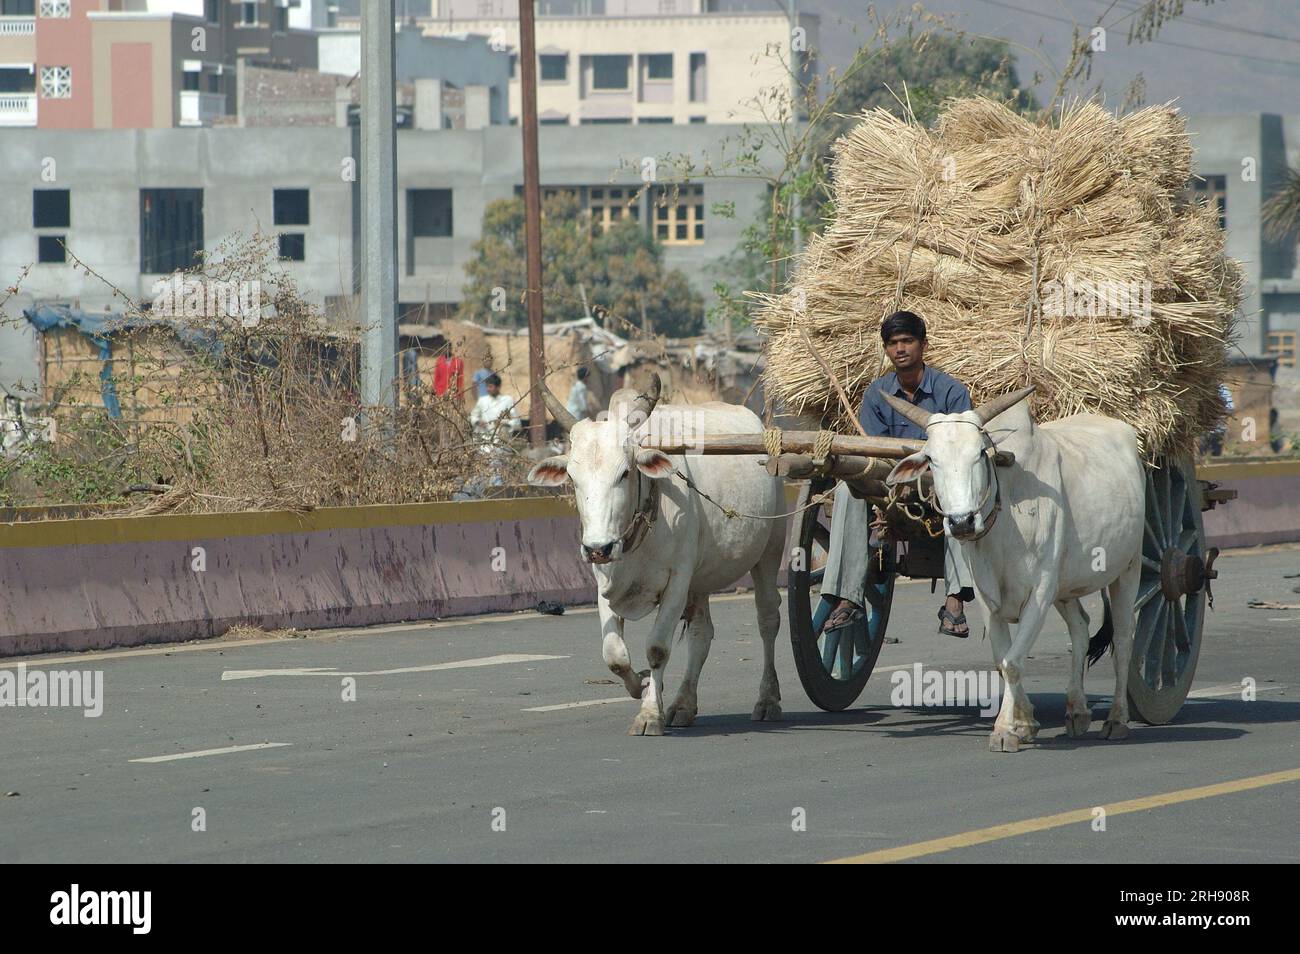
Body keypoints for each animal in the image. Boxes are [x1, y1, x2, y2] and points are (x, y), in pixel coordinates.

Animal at [527, 374, 787, 736]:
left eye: (625, 472)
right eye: (572, 477)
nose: (597, 548)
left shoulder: (677, 581)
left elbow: (657, 648)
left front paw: (649, 714)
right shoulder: (605, 582)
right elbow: (615, 656)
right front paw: (646, 685)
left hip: (769, 550)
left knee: (768, 619)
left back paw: (767, 700)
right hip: (700, 579)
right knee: (702, 634)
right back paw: (683, 705)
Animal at [882, 386, 1145, 752]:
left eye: (980, 452)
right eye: (931, 459)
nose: (961, 522)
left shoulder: (1041, 590)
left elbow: (1013, 662)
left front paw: (1006, 729)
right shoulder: (987, 596)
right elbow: (1001, 659)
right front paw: (1024, 722)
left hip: (1128, 566)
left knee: (1123, 637)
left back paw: (1117, 719)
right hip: (1067, 585)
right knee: (1080, 628)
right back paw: (1077, 710)